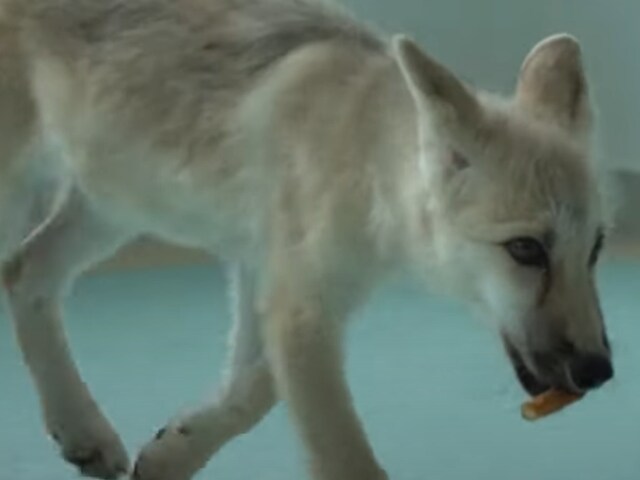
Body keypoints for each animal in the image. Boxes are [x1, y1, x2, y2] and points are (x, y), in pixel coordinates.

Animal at [0, 0, 614, 479]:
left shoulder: (274, 283)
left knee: (26, 273)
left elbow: (252, 394)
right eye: (526, 249)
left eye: (595, 250)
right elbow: (342, 455)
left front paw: (176, 453)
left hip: (116, 202)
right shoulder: (298, 301)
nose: (599, 372)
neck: (361, 154)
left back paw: (82, 429)